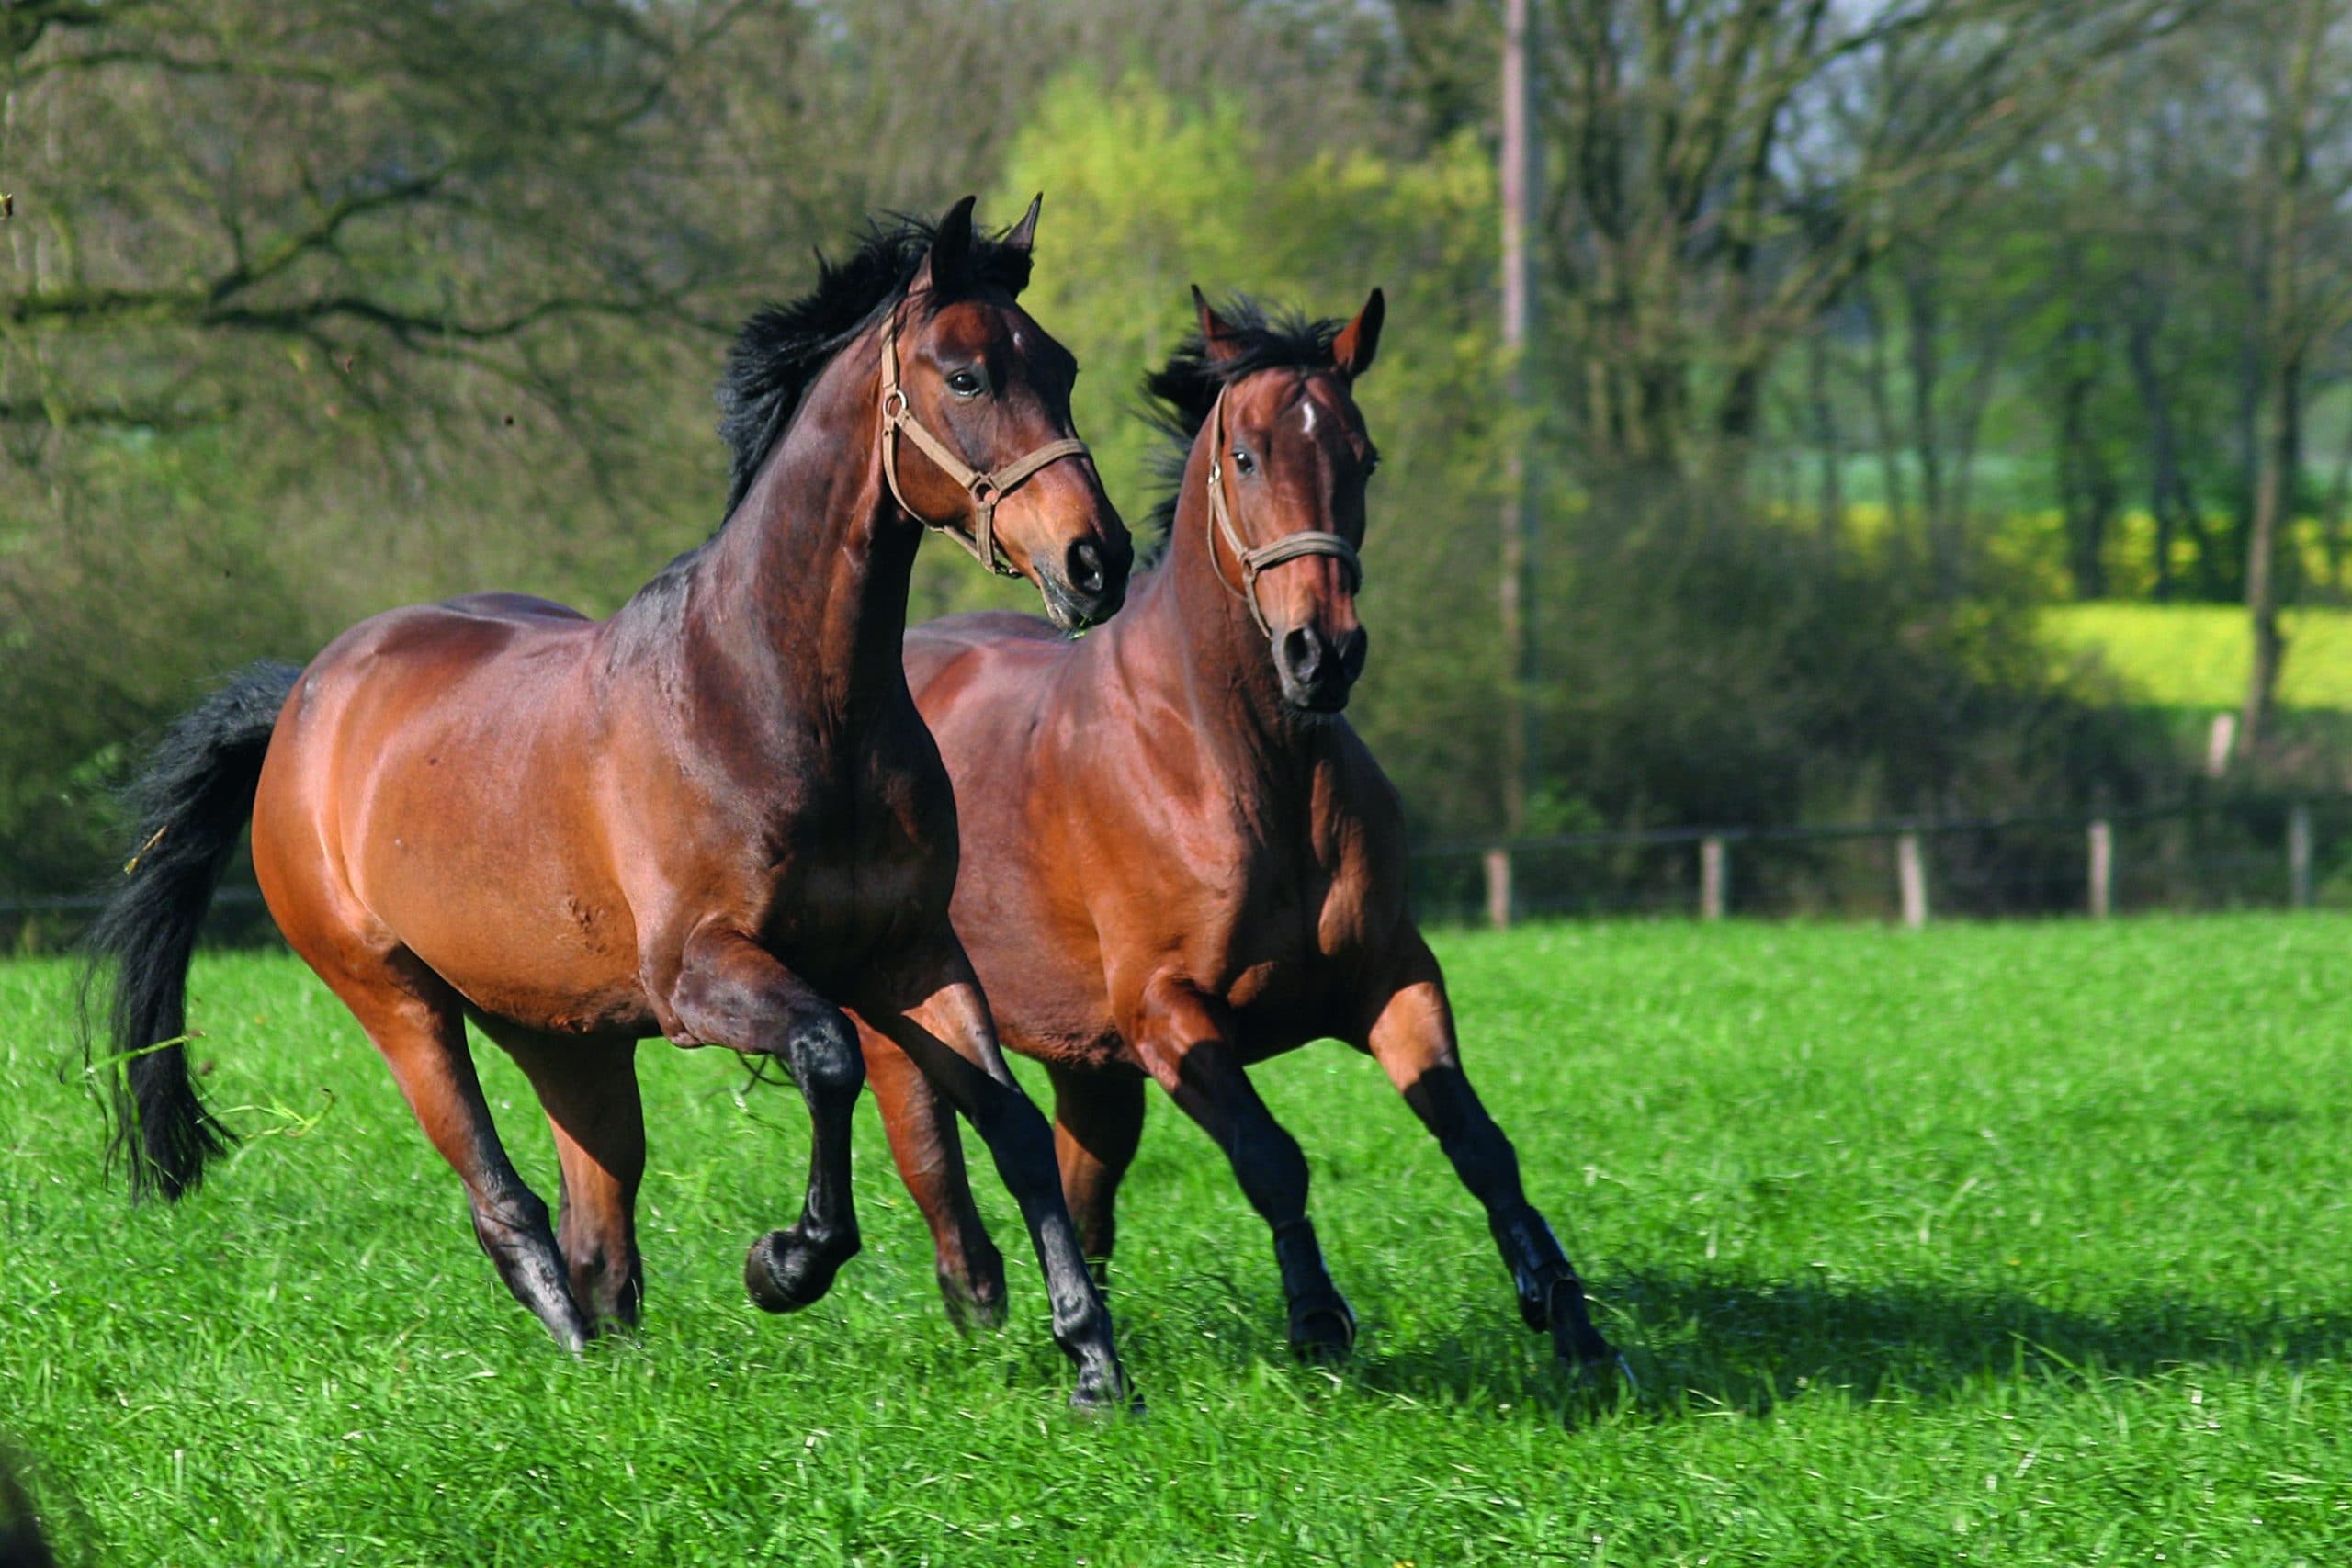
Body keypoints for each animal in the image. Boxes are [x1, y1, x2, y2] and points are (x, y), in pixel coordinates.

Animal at [82, 197, 1139, 1408]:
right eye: (963, 375)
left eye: (1057, 366)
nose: (1097, 560)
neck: (785, 698)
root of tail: (304, 699)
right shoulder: (701, 975)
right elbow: (827, 1056)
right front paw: (785, 1263)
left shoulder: (911, 953)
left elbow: (1013, 1123)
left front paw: (1093, 1362)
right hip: (396, 1001)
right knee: (507, 1204)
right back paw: (581, 1355)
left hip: (563, 1033)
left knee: (601, 1226)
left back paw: (616, 1357)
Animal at [853, 288, 1619, 1380]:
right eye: (1247, 457)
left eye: (1363, 456)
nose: (1321, 653)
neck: (1243, 769)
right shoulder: (1171, 1011)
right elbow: (1271, 1157)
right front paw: (1318, 1319)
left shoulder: (1392, 976)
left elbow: (1480, 1144)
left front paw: (1568, 1316)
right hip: (909, 1021)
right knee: (934, 1162)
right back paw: (985, 1312)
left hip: (1089, 1061)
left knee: (1082, 1189)